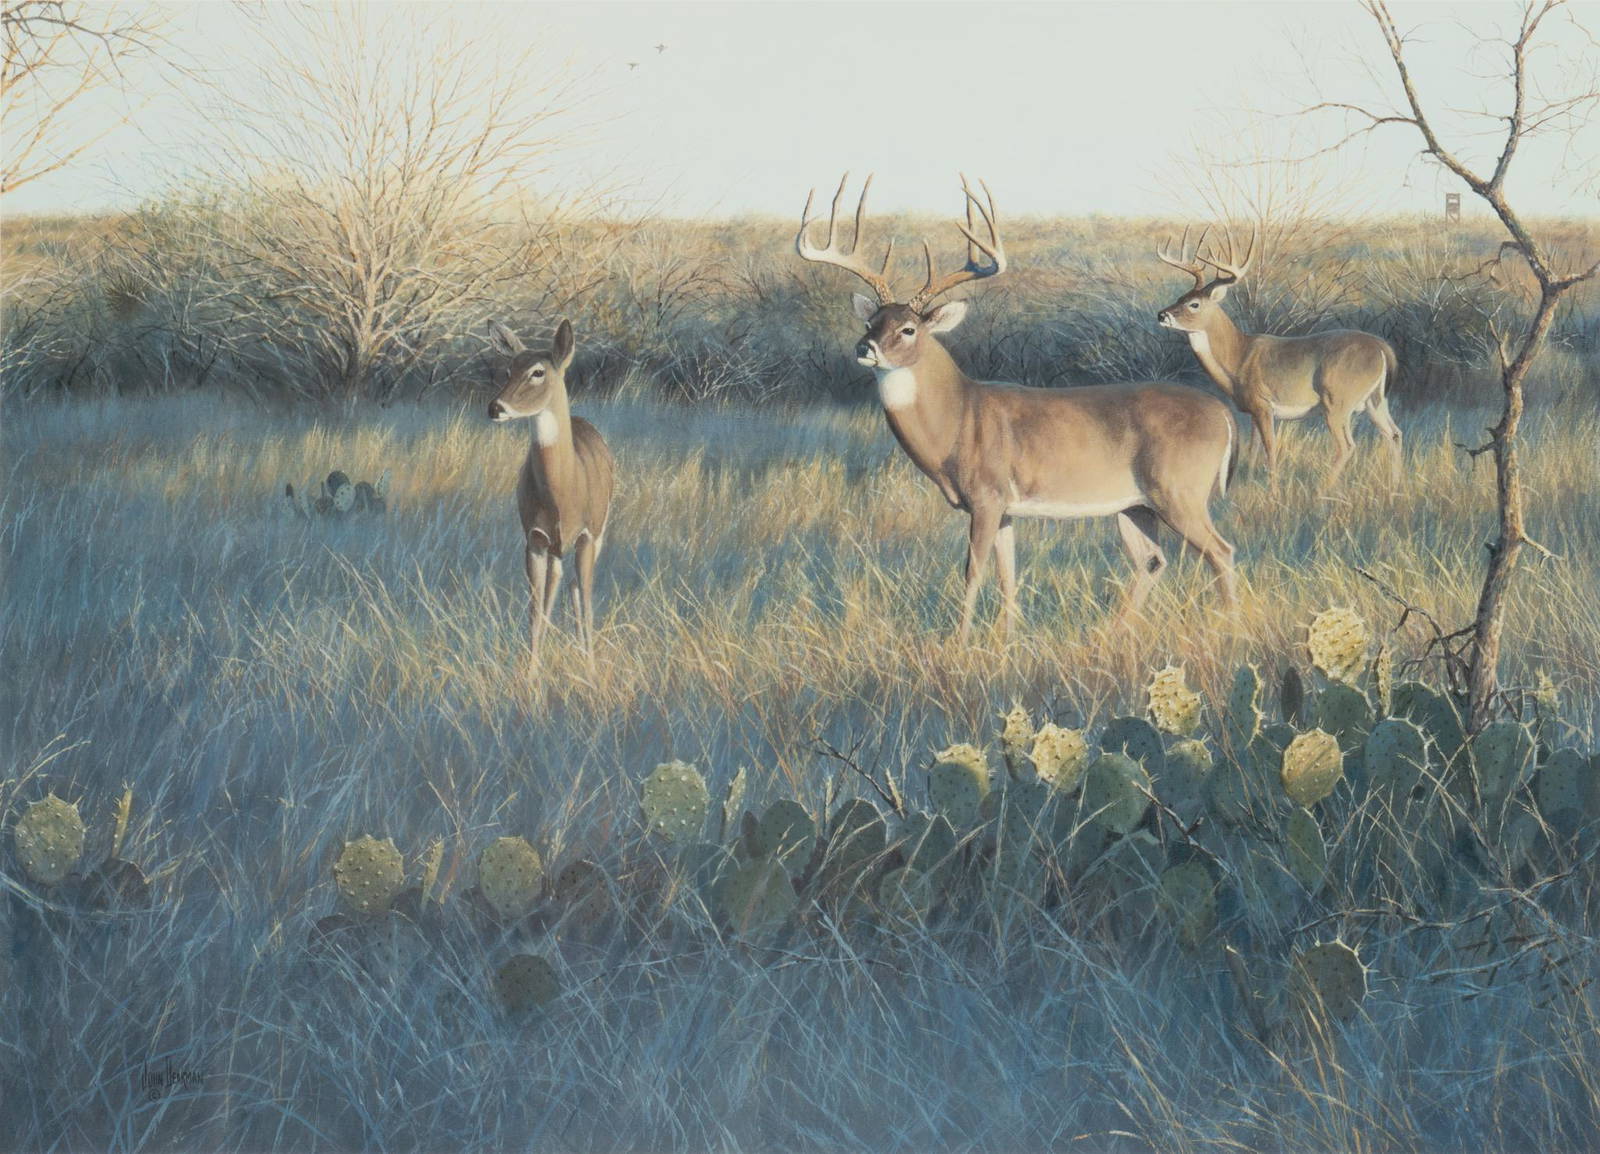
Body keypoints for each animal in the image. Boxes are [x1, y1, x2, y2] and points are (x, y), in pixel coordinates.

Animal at [487, 318, 614, 666]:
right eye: (508, 370)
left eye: (538, 372)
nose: (495, 407)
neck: (562, 490)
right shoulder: (534, 538)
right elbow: (534, 612)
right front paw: (531, 671)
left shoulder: (587, 534)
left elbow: (587, 604)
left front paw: (591, 669)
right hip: (556, 547)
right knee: (557, 585)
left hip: (601, 530)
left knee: (574, 586)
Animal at [795, 174, 1239, 640]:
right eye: (869, 322)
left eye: (909, 328)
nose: (865, 348)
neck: (956, 417)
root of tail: (1223, 413)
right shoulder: (1006, 507)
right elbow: (1008, 573)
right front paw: (1006, 639)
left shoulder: (986, 495)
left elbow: (973, 571)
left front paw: (960, 641)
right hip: (1136, 505)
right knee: (1153, 561)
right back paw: (1110, 632)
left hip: (1180, 491)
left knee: (1221, 551)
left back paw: (1230, 628)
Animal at [1156, 227, 1403, 489]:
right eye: (1180, 298)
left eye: (1194, 304)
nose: (1162, 315)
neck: (1237, 358)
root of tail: (1384, 348)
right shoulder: (1253, 411)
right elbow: (1253, 449)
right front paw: (1248, 485)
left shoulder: (1264, 404)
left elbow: (1271, 449)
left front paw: (1273, 490)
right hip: (1375, 400)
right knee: (1394, 433)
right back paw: (1396, 486)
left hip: (1338, 401)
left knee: (1347, 446)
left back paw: (1322, 490)